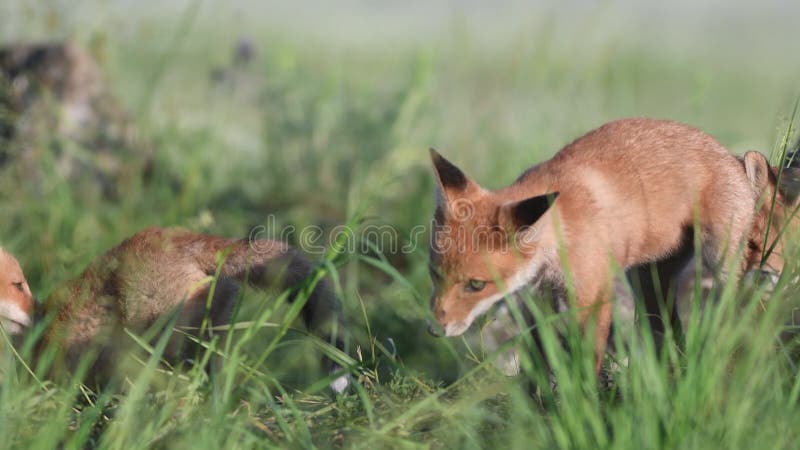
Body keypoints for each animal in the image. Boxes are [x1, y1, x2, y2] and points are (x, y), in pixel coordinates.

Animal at [428, 118, 758, 373]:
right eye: (434, 273)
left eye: (475, 284)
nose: (434, 330)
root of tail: (730, 154)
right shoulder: (538, 300)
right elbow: (543, 362)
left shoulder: (593, 297)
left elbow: (585, 366)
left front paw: (583, 403)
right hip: (647, 285)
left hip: (721, 265)